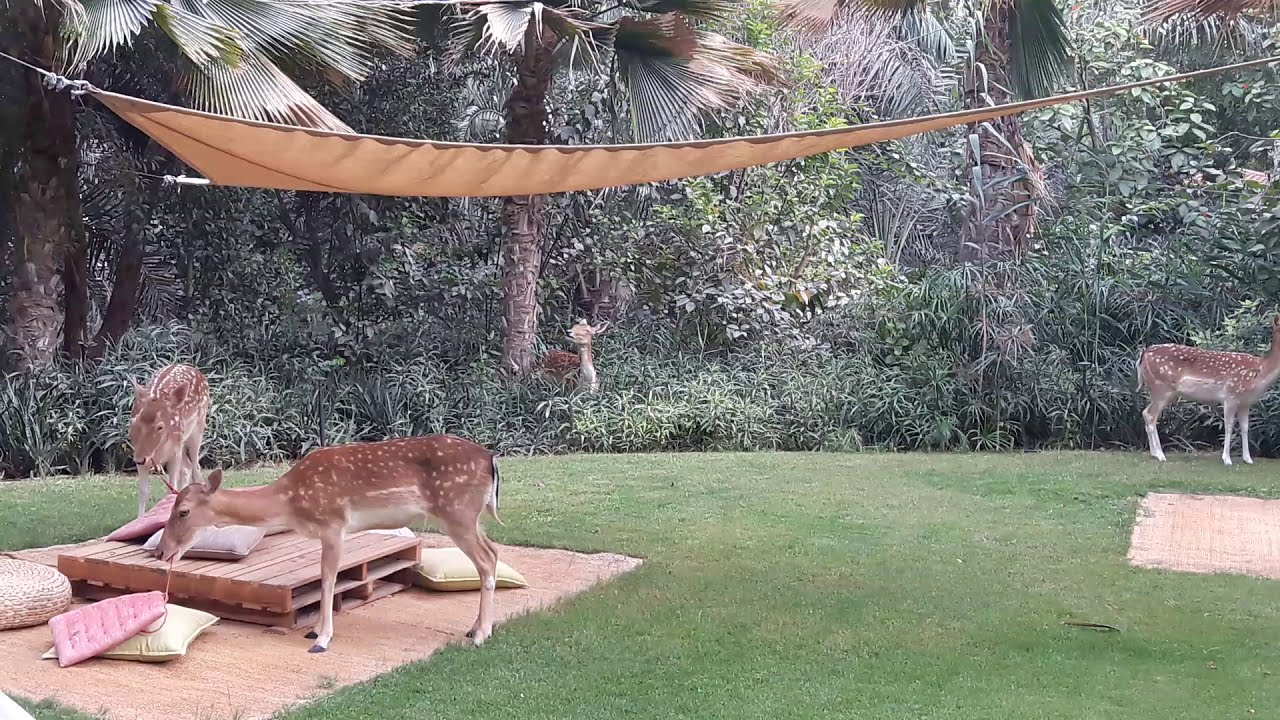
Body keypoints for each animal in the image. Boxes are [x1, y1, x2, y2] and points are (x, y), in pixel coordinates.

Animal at [128, 363, 211, 518]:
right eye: (134, 422)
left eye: (160, 426)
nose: (139, 459)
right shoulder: (139, 453)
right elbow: (143, 493)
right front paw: (139, 519)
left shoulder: (174, 453)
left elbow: (170, 491)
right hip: (182, 442)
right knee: (187, 467)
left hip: (197, 429)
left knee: (196, 468)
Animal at [157, 434, 503, 654]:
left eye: (183, 511)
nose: (162, 551)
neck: (291, 502)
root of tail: (490, 460)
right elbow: (325, 579)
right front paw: (316, 631)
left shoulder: (334, 524)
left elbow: (327, 579)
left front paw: (321, 639)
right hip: (469, 516)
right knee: (493, 550)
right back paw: (474, 627)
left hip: (457, 511)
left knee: (486, 560)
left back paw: (481, 635)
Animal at [1137, 314, 1280, 465]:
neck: (1259, 373)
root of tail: (1143, 355)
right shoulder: (1231, 395)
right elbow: (1229, 426)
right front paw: (1227, 459)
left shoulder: (1245, 402)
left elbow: (1245, 427)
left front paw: (1248, 459)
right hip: (1162, 387)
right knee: (1151, 415)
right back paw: (1160, 455)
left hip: (1156, 390)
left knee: (1145, 412)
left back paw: (1153, 453)